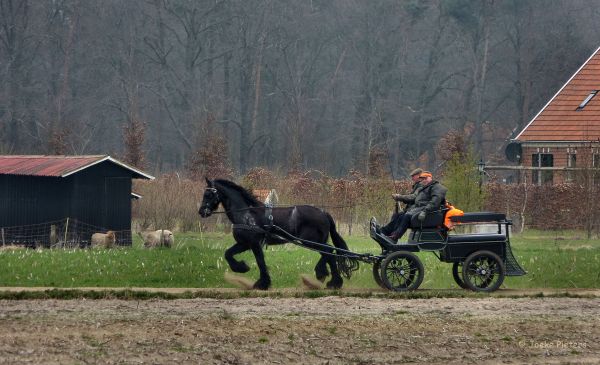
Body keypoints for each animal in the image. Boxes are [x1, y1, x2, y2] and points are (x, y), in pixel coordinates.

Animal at [197, 178, 356, 288]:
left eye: (208, 194)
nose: (201, 211)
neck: (247, 214)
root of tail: (323, 212)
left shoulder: (254, 244)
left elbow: (260, 262)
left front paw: (262, 283)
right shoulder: (244, 243)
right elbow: (228, 254)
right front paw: (242, 267)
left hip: (312, 241)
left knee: (329, 253)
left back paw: (330, 279)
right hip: (316, 241)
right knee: (329, 254)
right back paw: (330, 279)